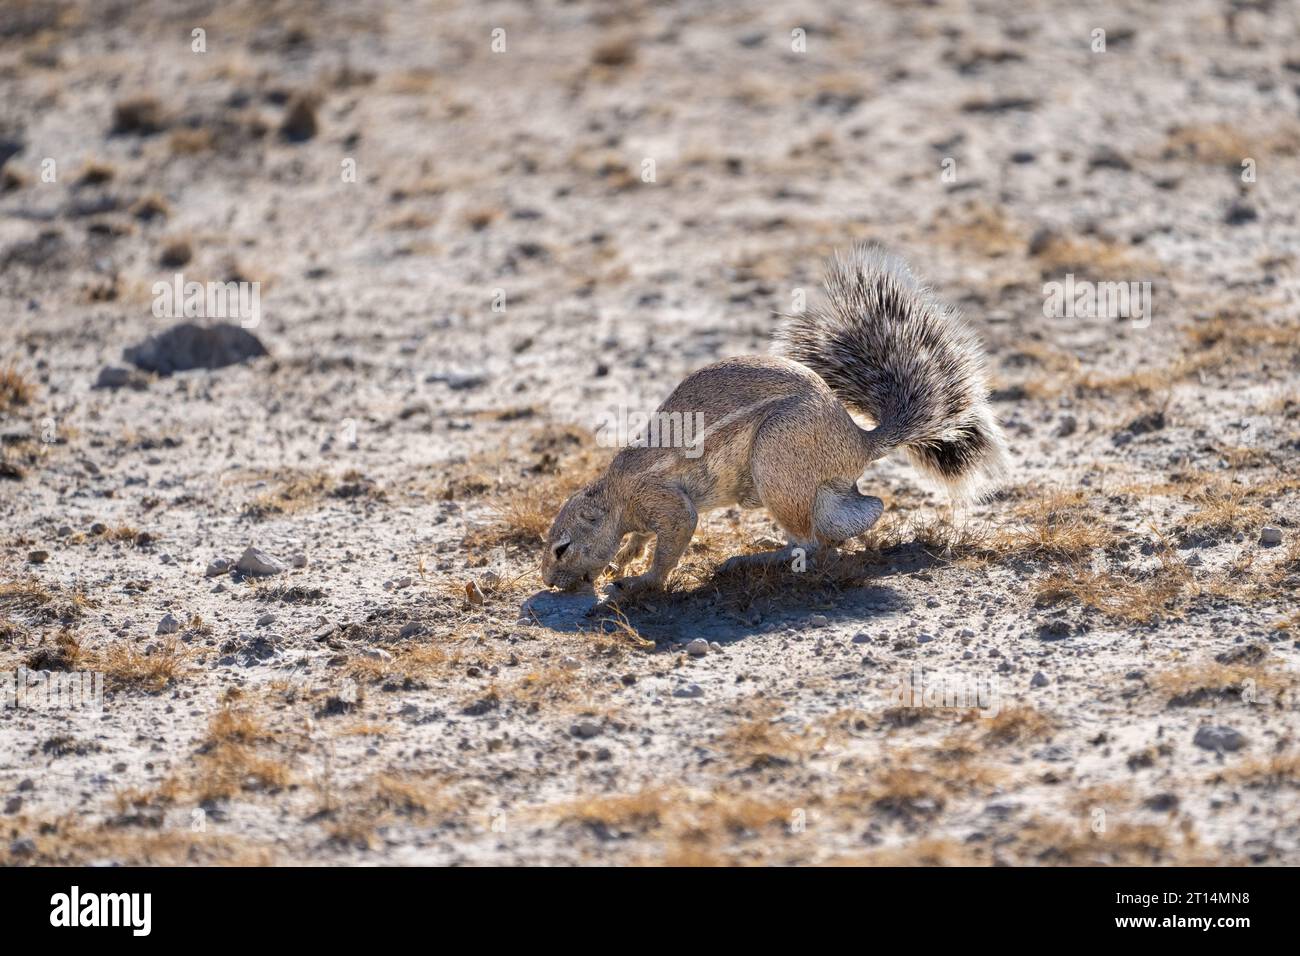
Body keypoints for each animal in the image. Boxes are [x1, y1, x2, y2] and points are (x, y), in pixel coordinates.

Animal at [540, 243, 1009, 593]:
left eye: (562, 548)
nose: (548, 582)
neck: (615, 495)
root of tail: (859, 440)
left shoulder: (662, 500)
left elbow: (673, 537)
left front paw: (639, 582)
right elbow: (641, 537)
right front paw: (626, 556)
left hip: (778, 464)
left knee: (810, 542)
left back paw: (749, 559)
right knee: (856, 516)